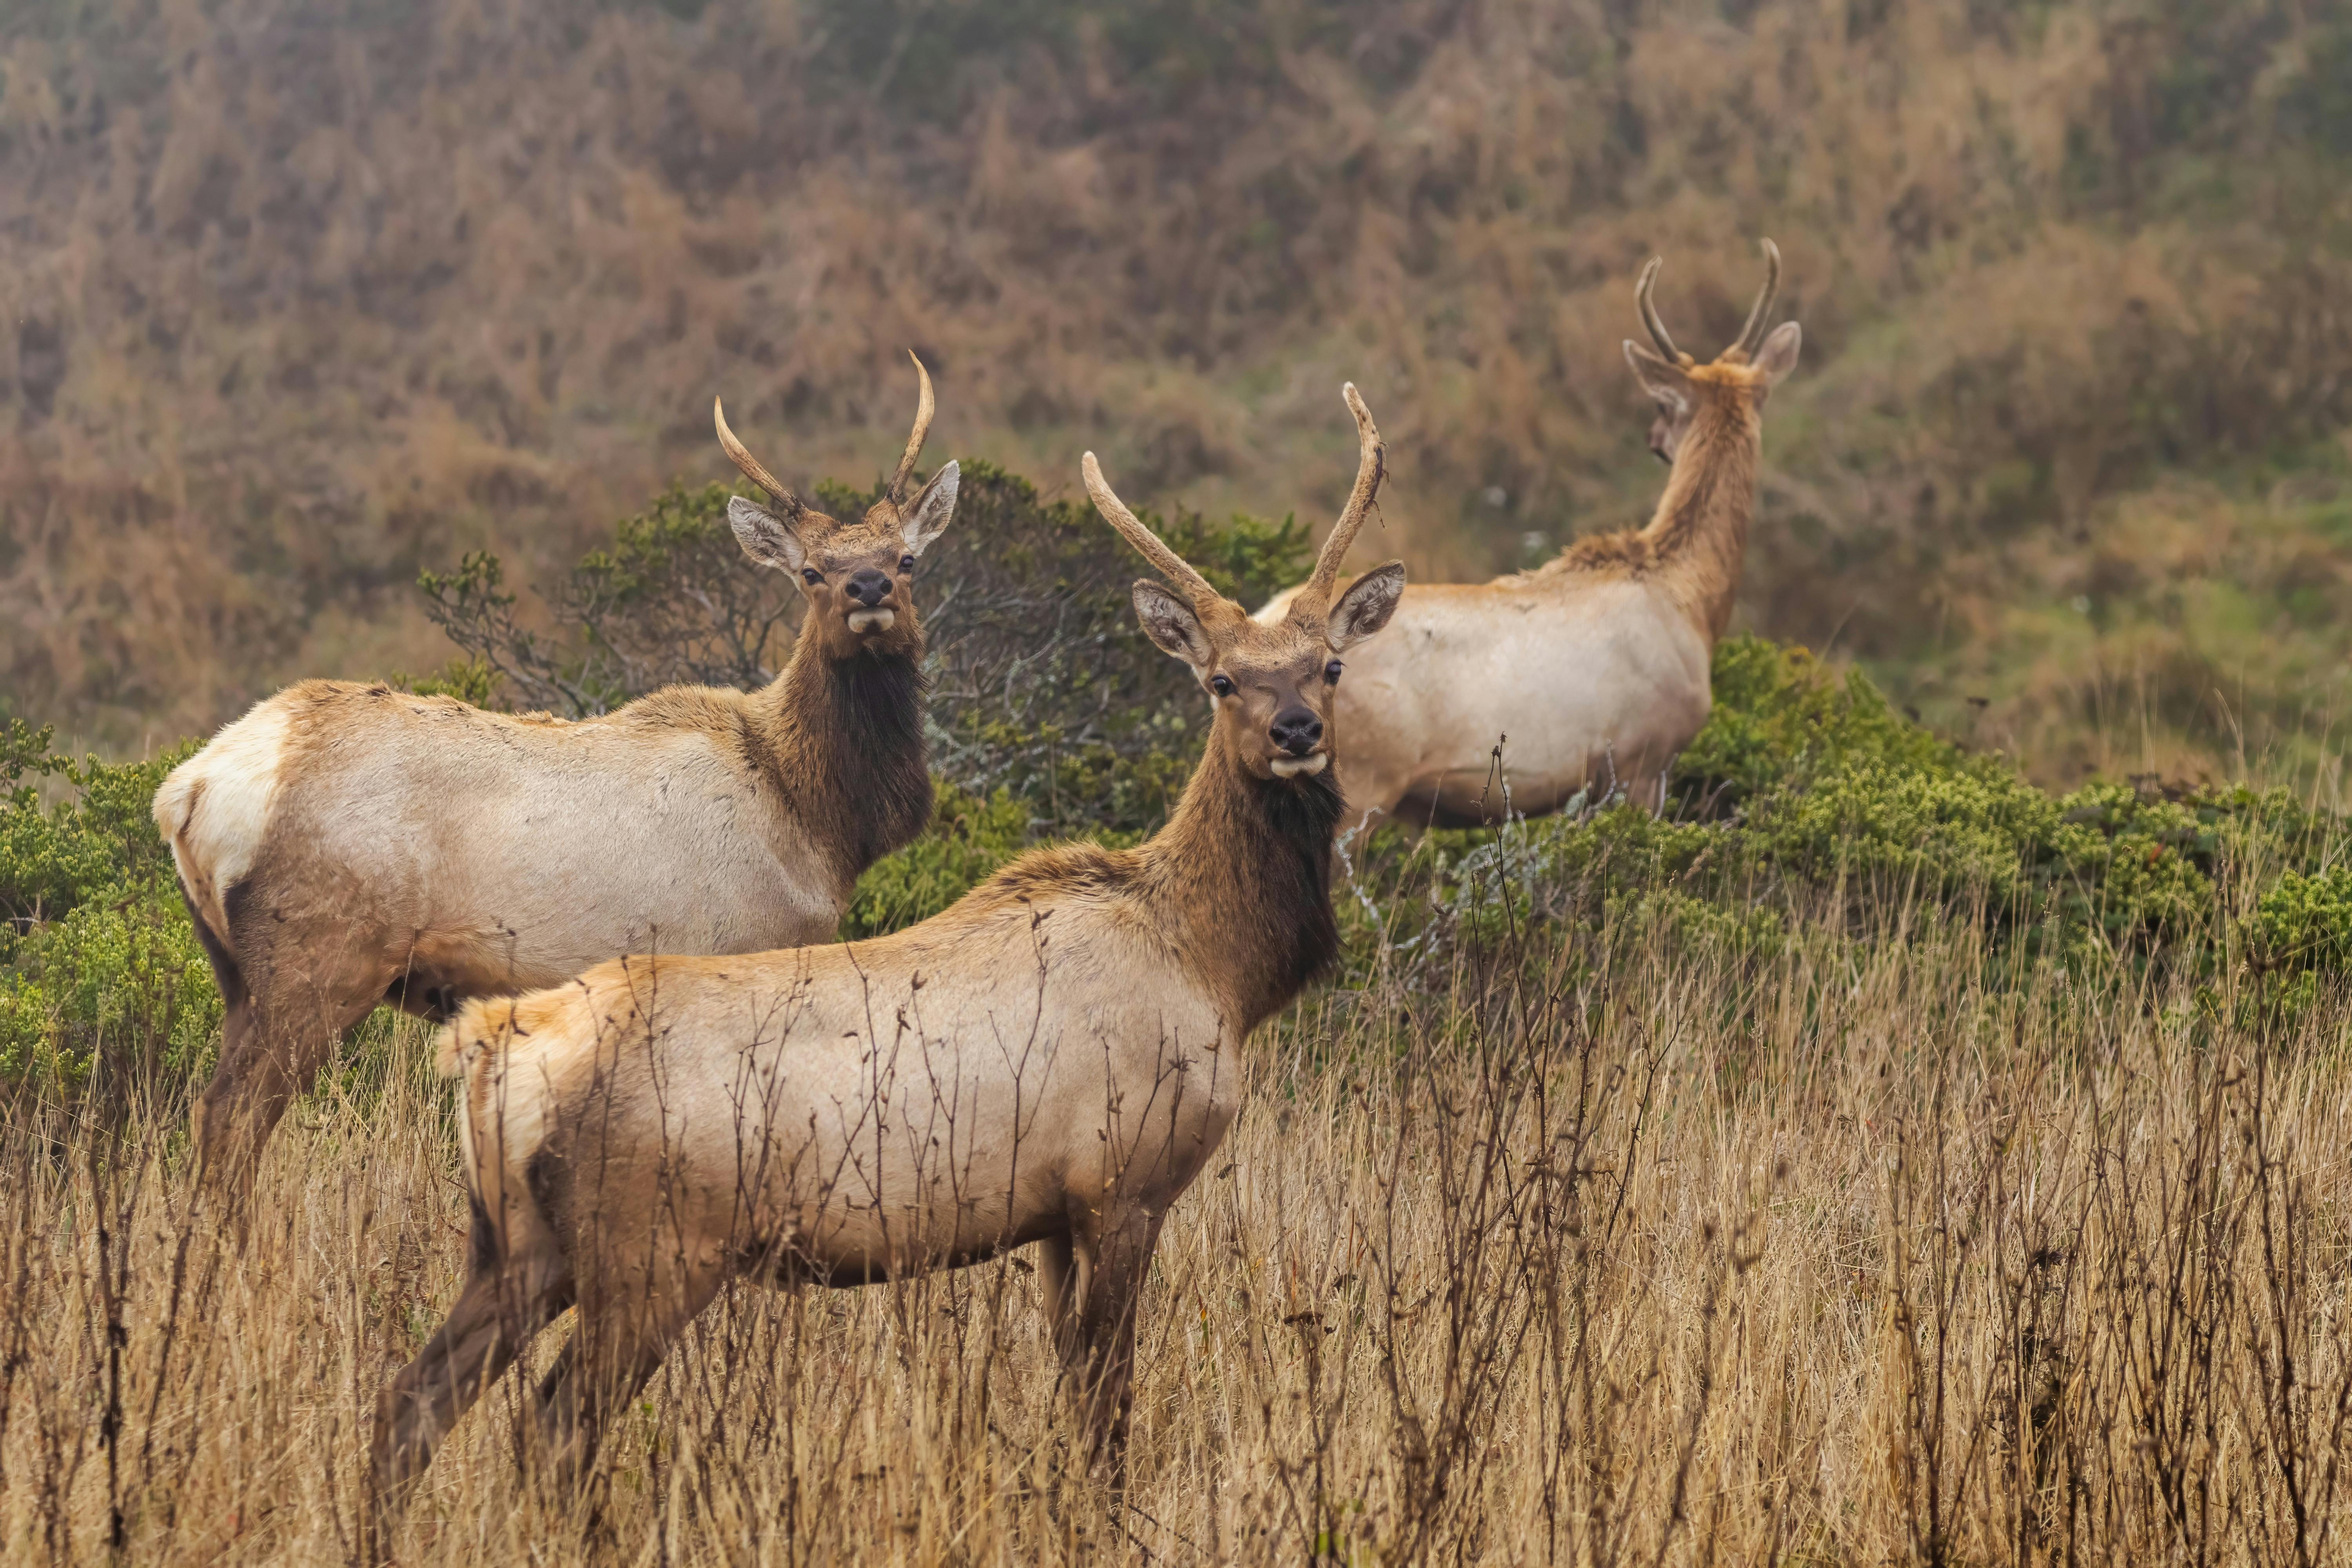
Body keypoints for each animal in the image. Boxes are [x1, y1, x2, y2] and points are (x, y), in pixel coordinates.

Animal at [154, 357, 962, 1207]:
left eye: (907, 558)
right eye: (810, 572)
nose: (868, 589)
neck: (814, 820)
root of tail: (186, 792)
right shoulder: (734, 953)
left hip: (236, 973)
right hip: (316, 959)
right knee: (232, 1117)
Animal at [367, 386, 1407, 1523]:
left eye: (1331, 665)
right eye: (1221, 680)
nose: (1298, 730)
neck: (1218, 967)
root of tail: (494, 1057)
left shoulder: (1050, 1216)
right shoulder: (1121, 1183)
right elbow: (1107, 1412)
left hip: (515, 1244)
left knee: (408, 1403)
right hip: (651, 1246)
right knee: (549, 1429)